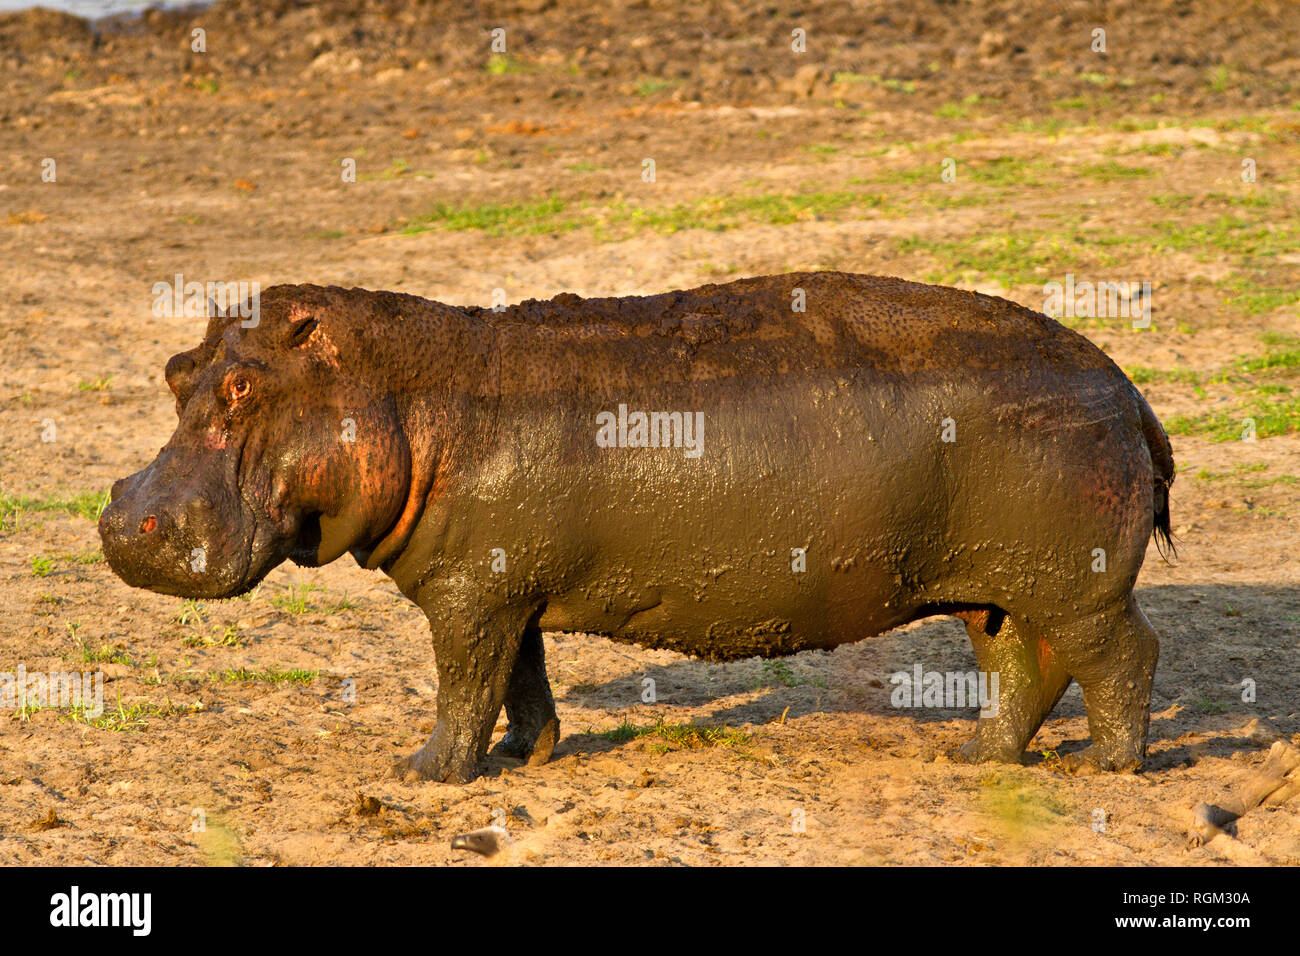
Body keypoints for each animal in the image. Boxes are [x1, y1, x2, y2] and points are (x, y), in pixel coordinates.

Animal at [99, 272, 1174, 782]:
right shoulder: (502, 591)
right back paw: (978, 761)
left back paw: (1108, 767)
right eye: (175, 371)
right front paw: (527, 757)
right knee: (1024, 672)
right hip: (998, 590)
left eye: (242, 387)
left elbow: (462, 688)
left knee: (1124, 656)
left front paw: (422, 775)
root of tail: (1126, 389)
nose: (120, 524)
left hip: (1076, 588)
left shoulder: (468, 598)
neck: (401, 394)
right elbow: (518, 680)